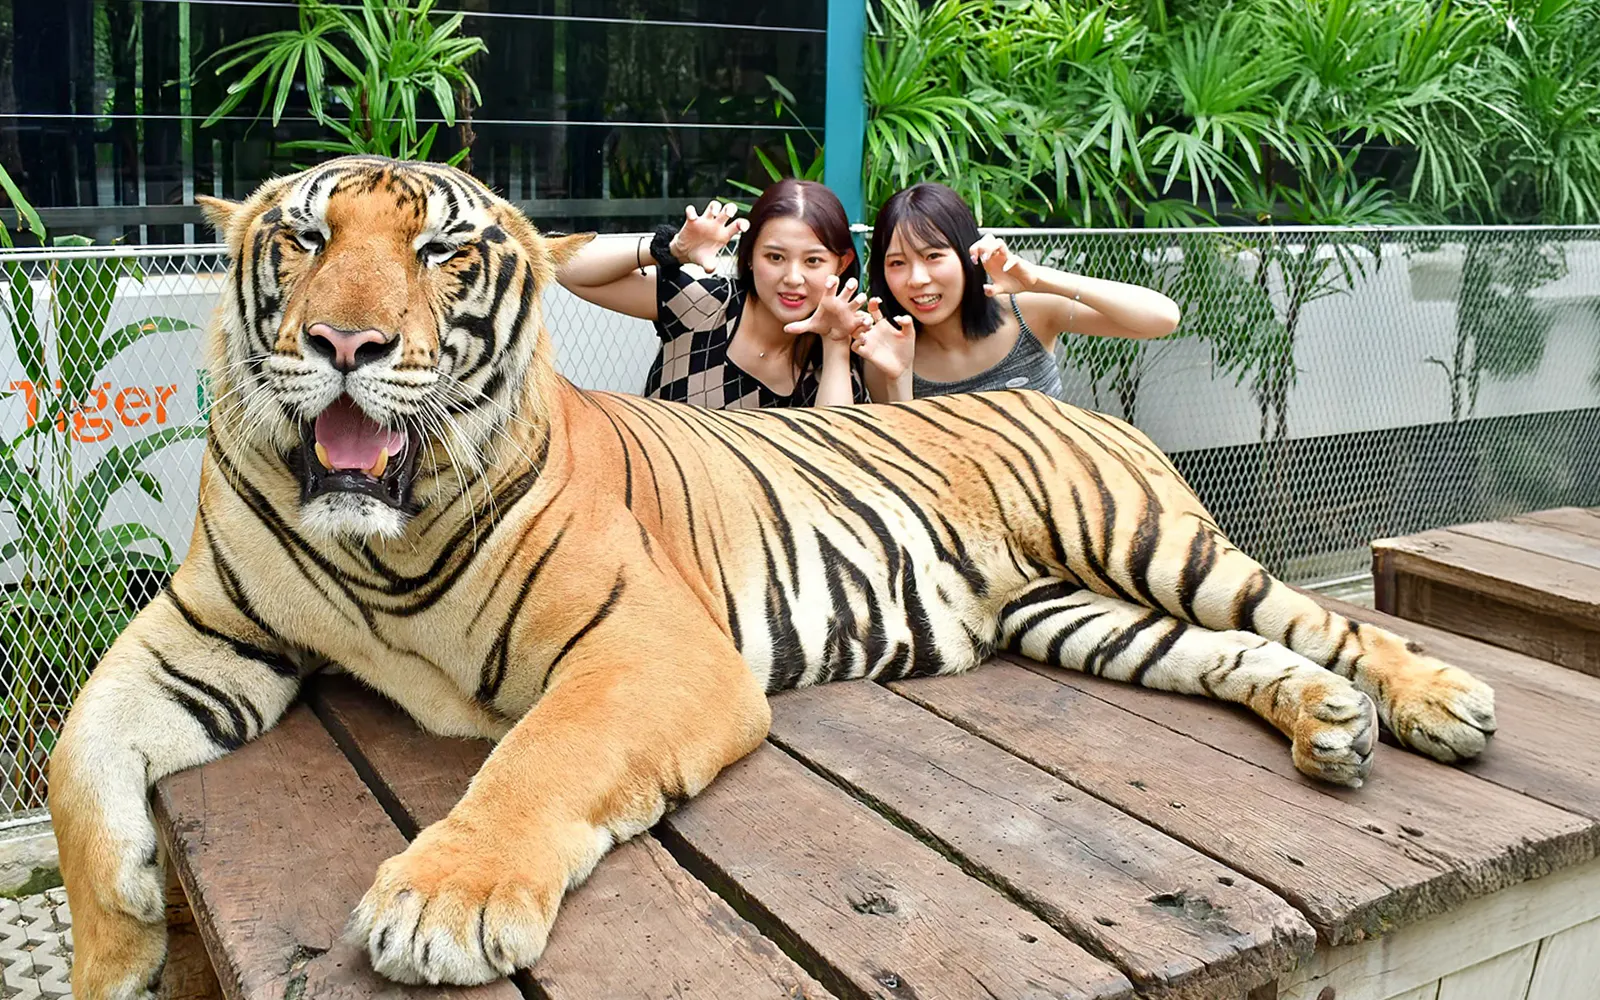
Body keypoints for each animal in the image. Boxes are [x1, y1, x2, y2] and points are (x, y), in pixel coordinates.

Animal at [47, 156, 1496, 998]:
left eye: (442, 254)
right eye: (301, 241)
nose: (345, 344)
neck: (380, 539)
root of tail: (1076, 400)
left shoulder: (648, 645)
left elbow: (537, 757)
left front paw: (444, 902)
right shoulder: (205, 634)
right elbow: (77, 765)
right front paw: (120, 954)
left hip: (1147, 542)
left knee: (1309, 619)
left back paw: (1434, 705)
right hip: (1074, 614)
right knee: (1240, 653)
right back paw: (1330, 731)